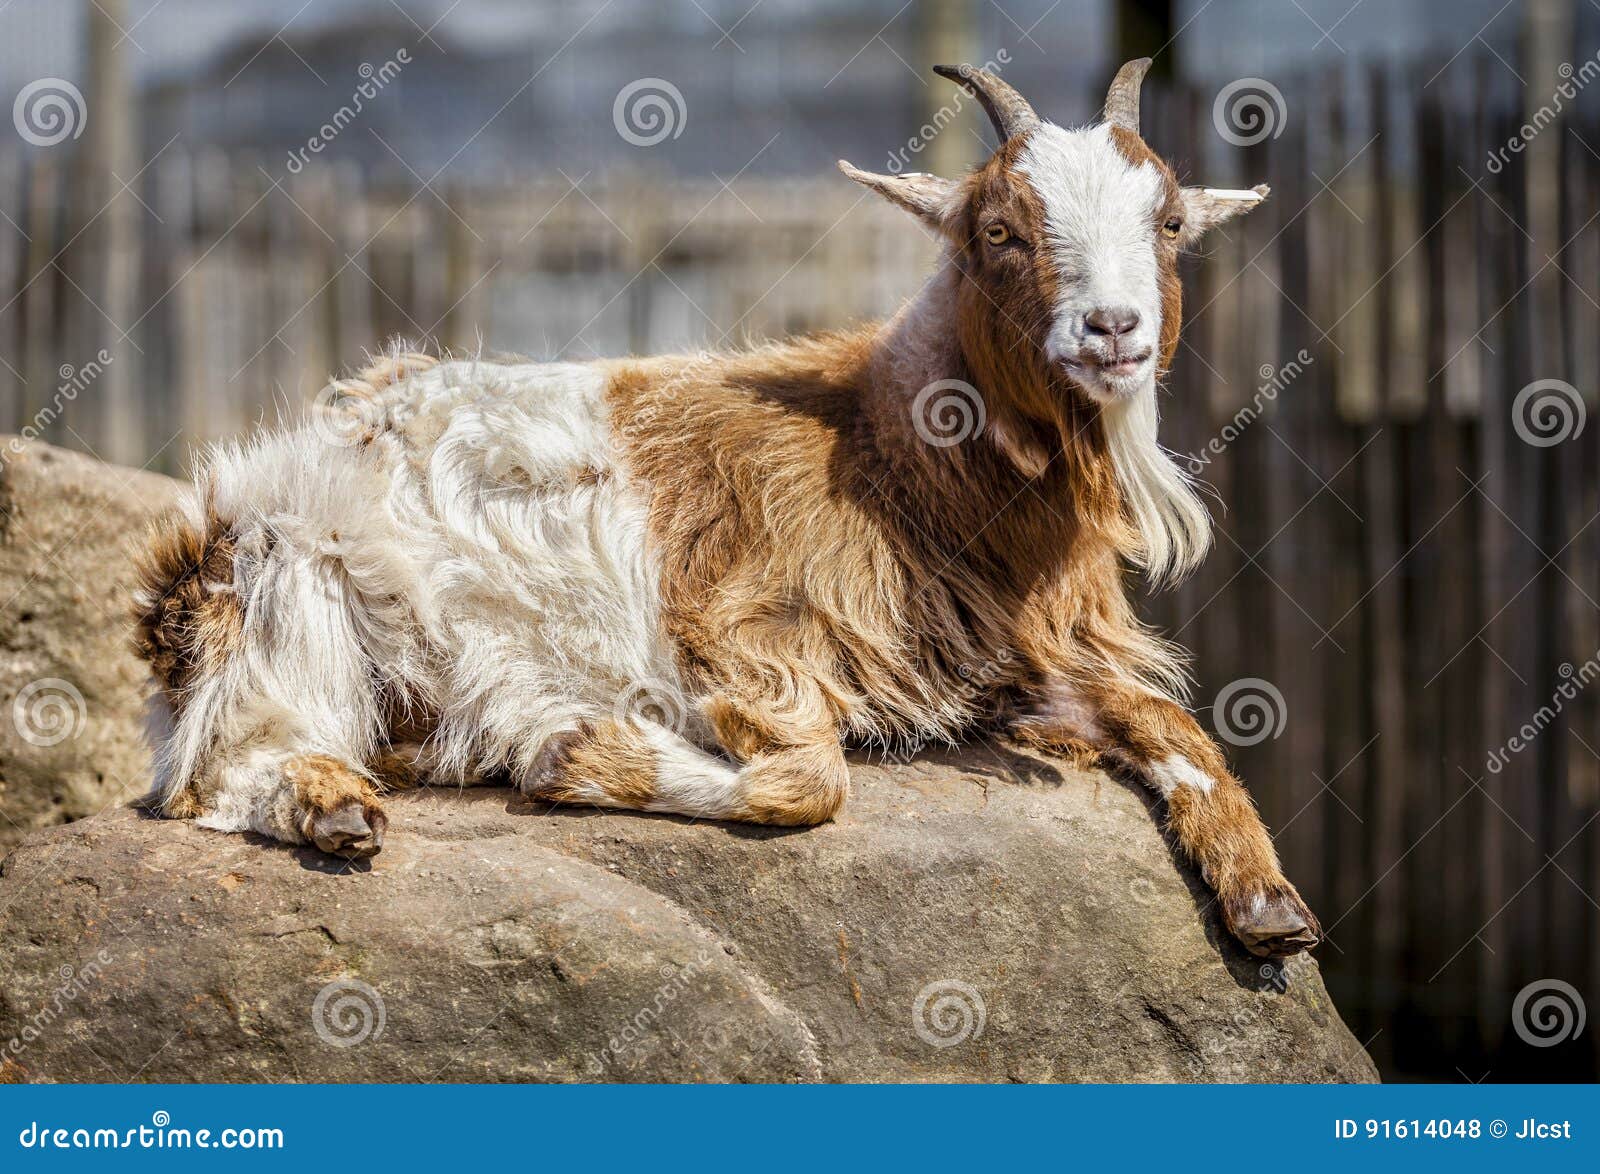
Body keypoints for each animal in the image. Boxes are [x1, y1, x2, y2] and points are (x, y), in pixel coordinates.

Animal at [133, 61, 1318, 959]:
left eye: (1171, 222)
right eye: (997, 229)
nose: (1113, 330)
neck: (883, 439)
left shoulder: (1014, 660)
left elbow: (1170, 722)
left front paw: (1269, 904)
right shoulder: (732, 634)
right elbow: (807, 780)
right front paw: (577, 753)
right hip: (296, 590)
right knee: (213, 773)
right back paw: (335, 807)